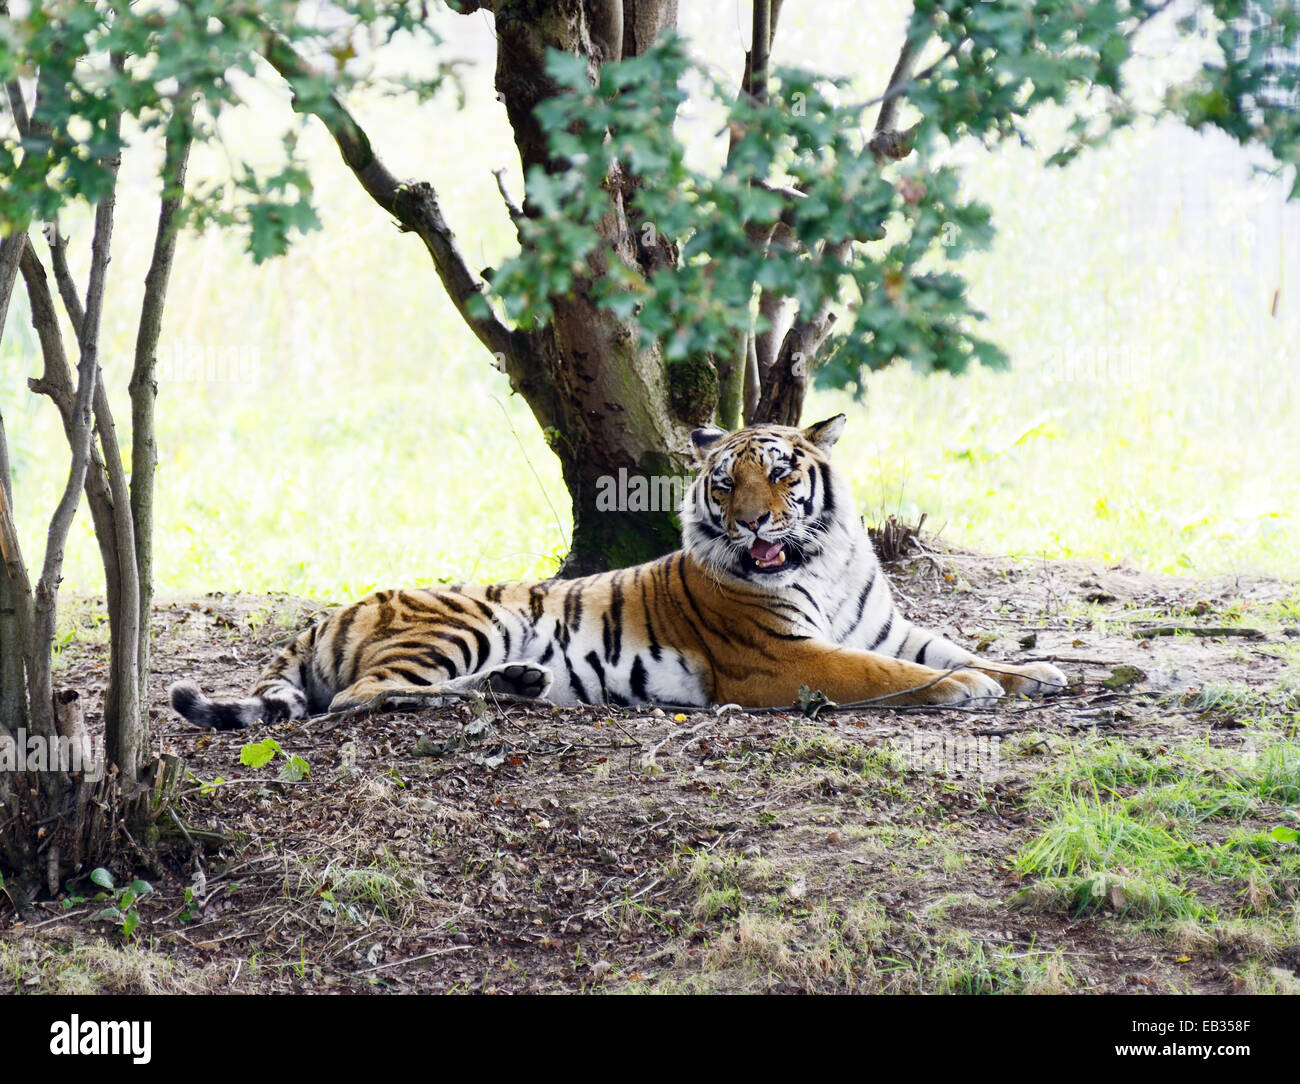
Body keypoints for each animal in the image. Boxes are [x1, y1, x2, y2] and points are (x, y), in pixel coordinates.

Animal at [168, 414, 1066, 730]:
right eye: (724, 482)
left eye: (781, 476)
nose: (752, 521)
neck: (828, 559)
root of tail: (325, 617)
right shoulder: (779, 658)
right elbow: (888, 673)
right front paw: (966, 691)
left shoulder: (886, 624)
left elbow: (954, 648)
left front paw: (1038, 673)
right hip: (466, 623)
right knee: (362, 697)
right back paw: (497, 694)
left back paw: (524, 685)